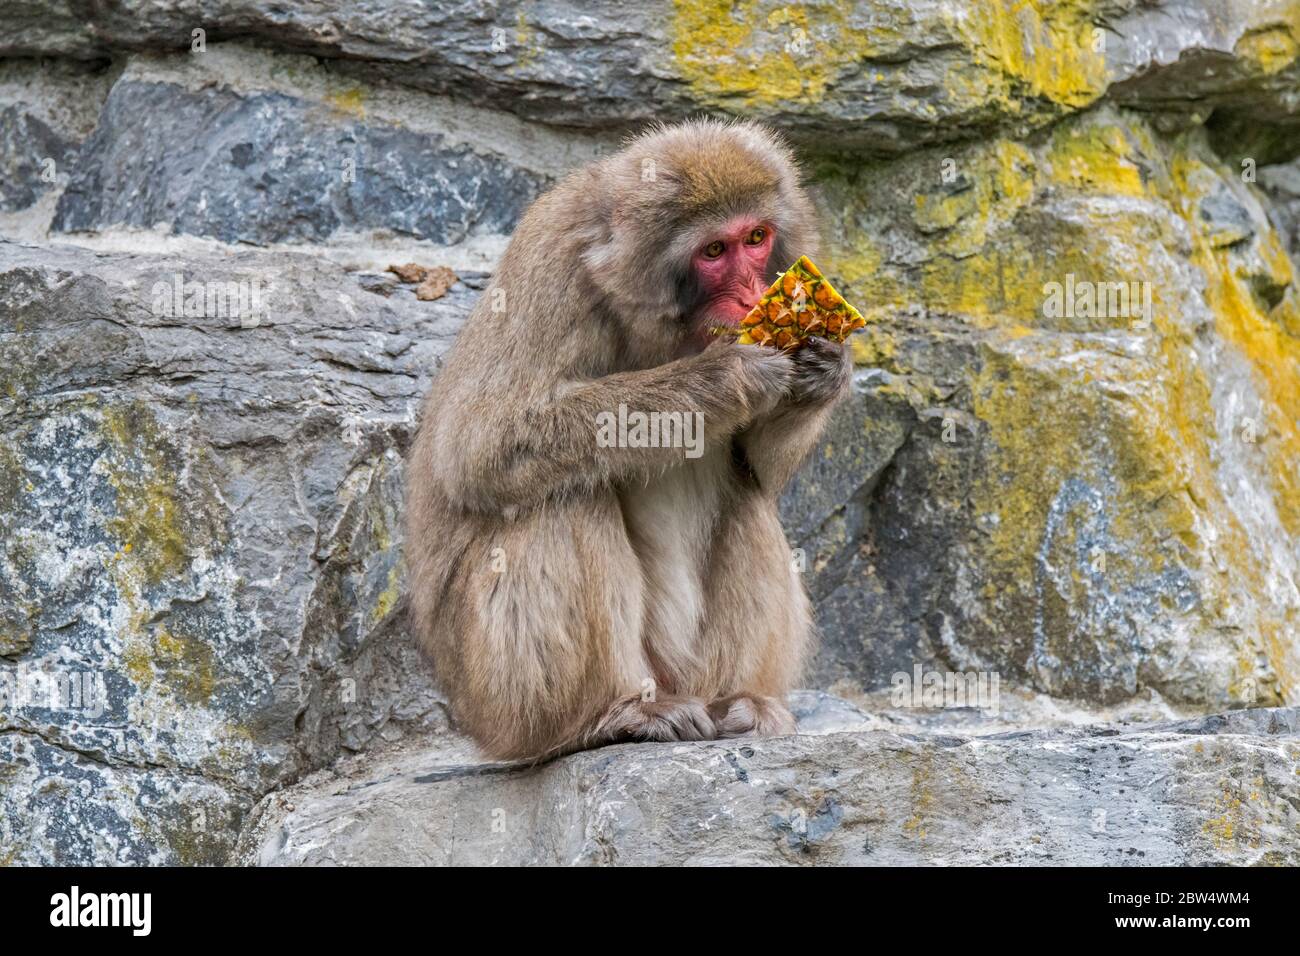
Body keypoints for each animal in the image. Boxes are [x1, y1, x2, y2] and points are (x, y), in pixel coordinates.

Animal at [406, 118, 851, 762]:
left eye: (757, 238)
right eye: (714, 251)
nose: (752, 294)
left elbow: (760, 470)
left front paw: (825, 370)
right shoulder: (553, 266)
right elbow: (481, 446)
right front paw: (723, 378)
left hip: (686, 667)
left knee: (747, 502)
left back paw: (739, 703)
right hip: (498, 702)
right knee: (559, 498)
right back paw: (610, 714)